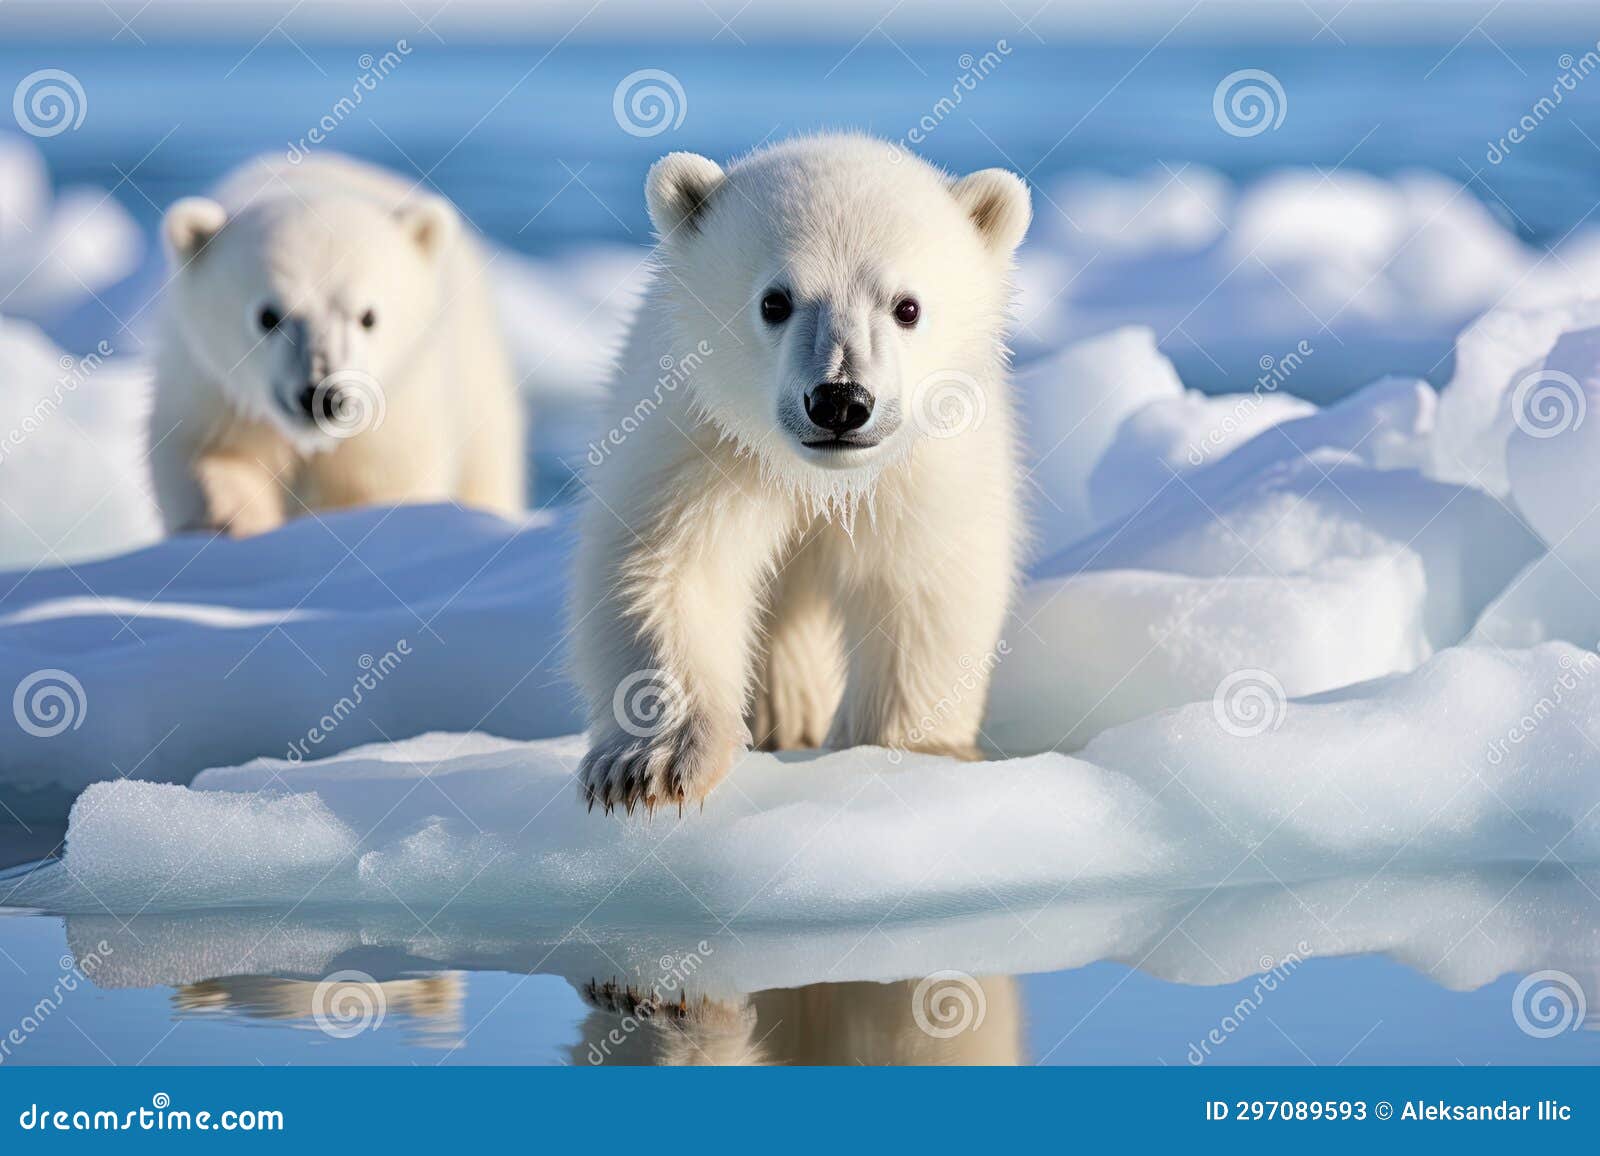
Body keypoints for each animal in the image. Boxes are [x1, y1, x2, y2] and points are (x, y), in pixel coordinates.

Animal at [148, 153, 523, 537]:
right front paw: (233, 520)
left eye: (368, 316)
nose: (322, 396)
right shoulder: (205, 390)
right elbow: (209, 462)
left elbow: (376, 486)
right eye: (268, 316)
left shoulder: (401, 414)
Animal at [570, 134, 1030, 814]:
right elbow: (665, 570)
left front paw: (903, 751)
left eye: (907, 307)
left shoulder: (919, 473)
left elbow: (922, 593)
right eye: (775, 301)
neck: (819, 478)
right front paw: (648, 767)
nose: (839, 400)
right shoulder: (704, 443)